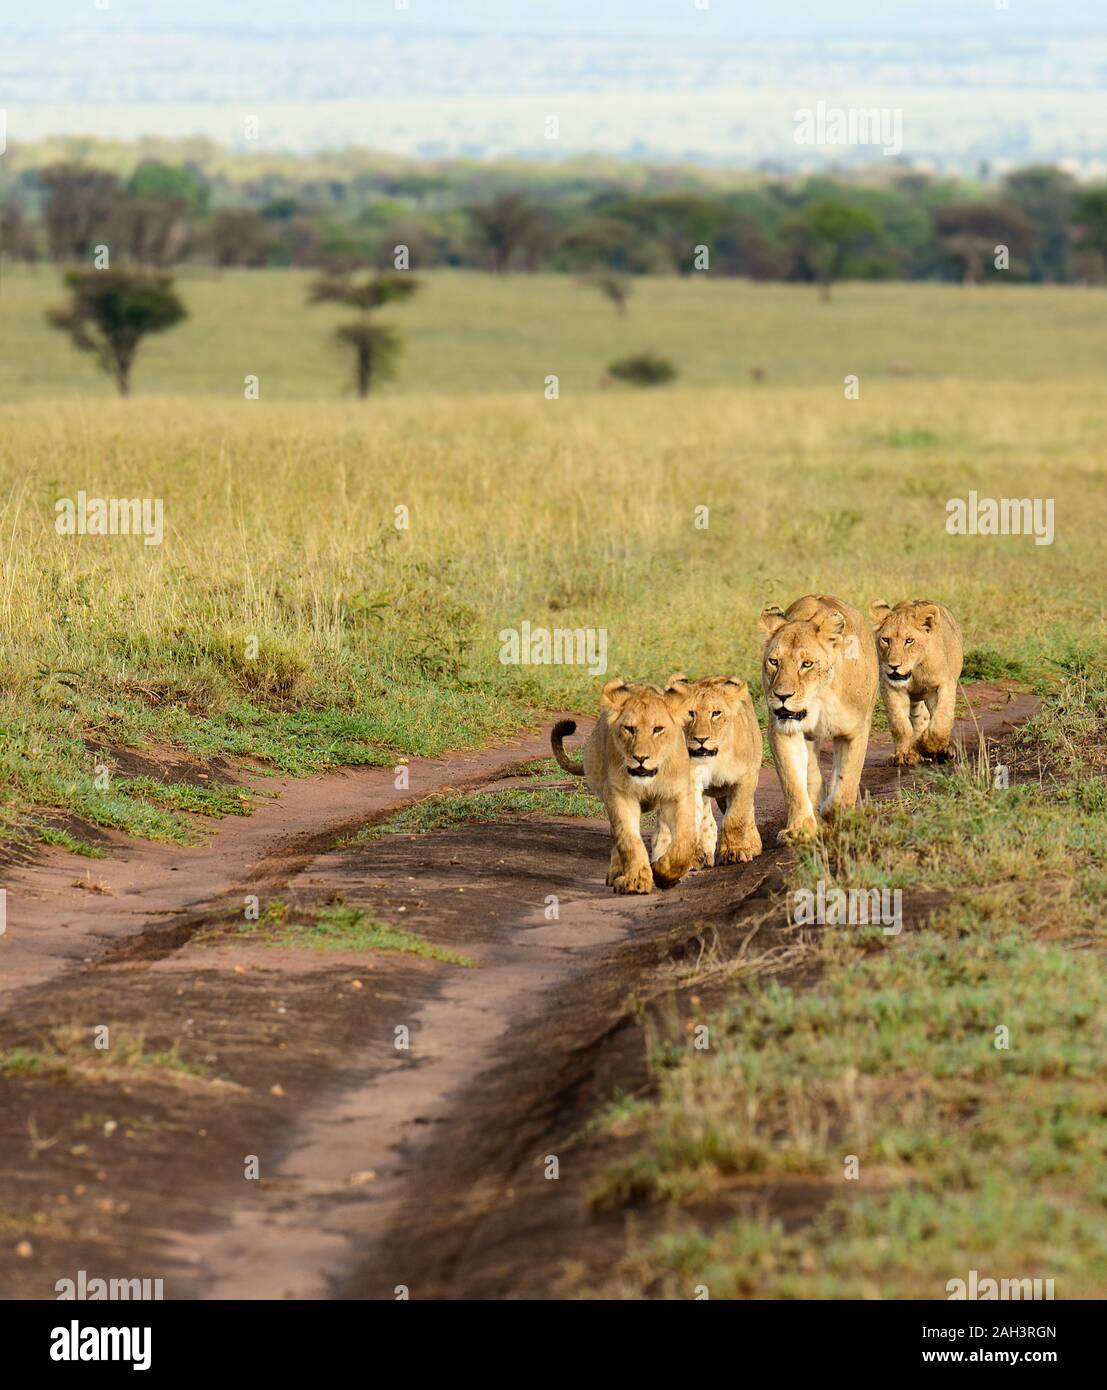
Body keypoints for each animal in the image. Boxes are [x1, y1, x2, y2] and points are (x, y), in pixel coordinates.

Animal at [551, 680, 696, 894]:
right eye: (629, 729)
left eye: (658, 729)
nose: (641, 758)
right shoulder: (619, 794)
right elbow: (629, 839)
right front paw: (635, 880)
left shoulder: (676, 796)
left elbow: (684, 845)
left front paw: (663, 874)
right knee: (616, 835)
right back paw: (616, 872)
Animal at [663, 674, 763, 866]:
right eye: (691, 713)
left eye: (716, 713)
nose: (701, 739)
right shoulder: (690, 781)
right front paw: (694, 858)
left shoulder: (746, 778)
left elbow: (736, 817)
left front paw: (734, 851)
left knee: (747, 811)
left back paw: (753, 845)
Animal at [758, 594, 879, 844]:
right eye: (774, 662)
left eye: (807, 664)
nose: (782, 696)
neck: (818, 700)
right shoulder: (783, 732)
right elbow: (793, 784)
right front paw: (799, 829)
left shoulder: (855, 730)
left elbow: (847, 779)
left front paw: (835, 813)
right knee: (812, 774)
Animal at [868, 599, 964, 766]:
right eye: (886, 640)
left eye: (909, 641)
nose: (894, 666)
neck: (915, 671)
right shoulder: (890, 686)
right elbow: (900, 723)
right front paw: (904, 753)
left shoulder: (944, 684)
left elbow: (941, 719)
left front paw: (929, 747)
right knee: (920, 719)